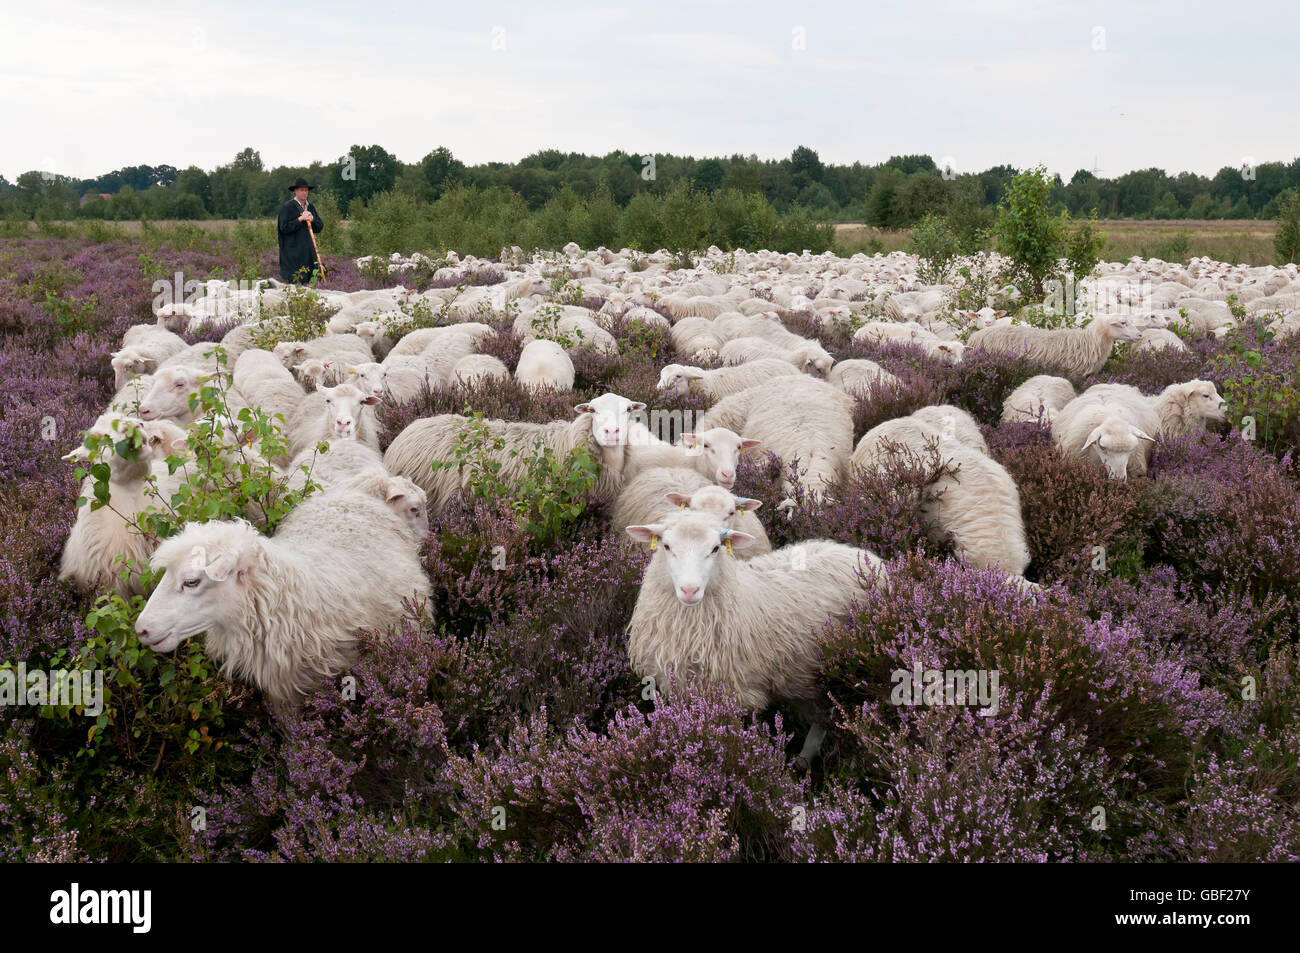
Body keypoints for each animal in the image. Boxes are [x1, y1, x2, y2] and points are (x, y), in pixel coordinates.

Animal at [624, 510, 885, 766]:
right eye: (667, 546)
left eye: (715, 548)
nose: (690, 590)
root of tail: (864, 555)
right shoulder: (680, 686)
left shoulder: (740, 692)